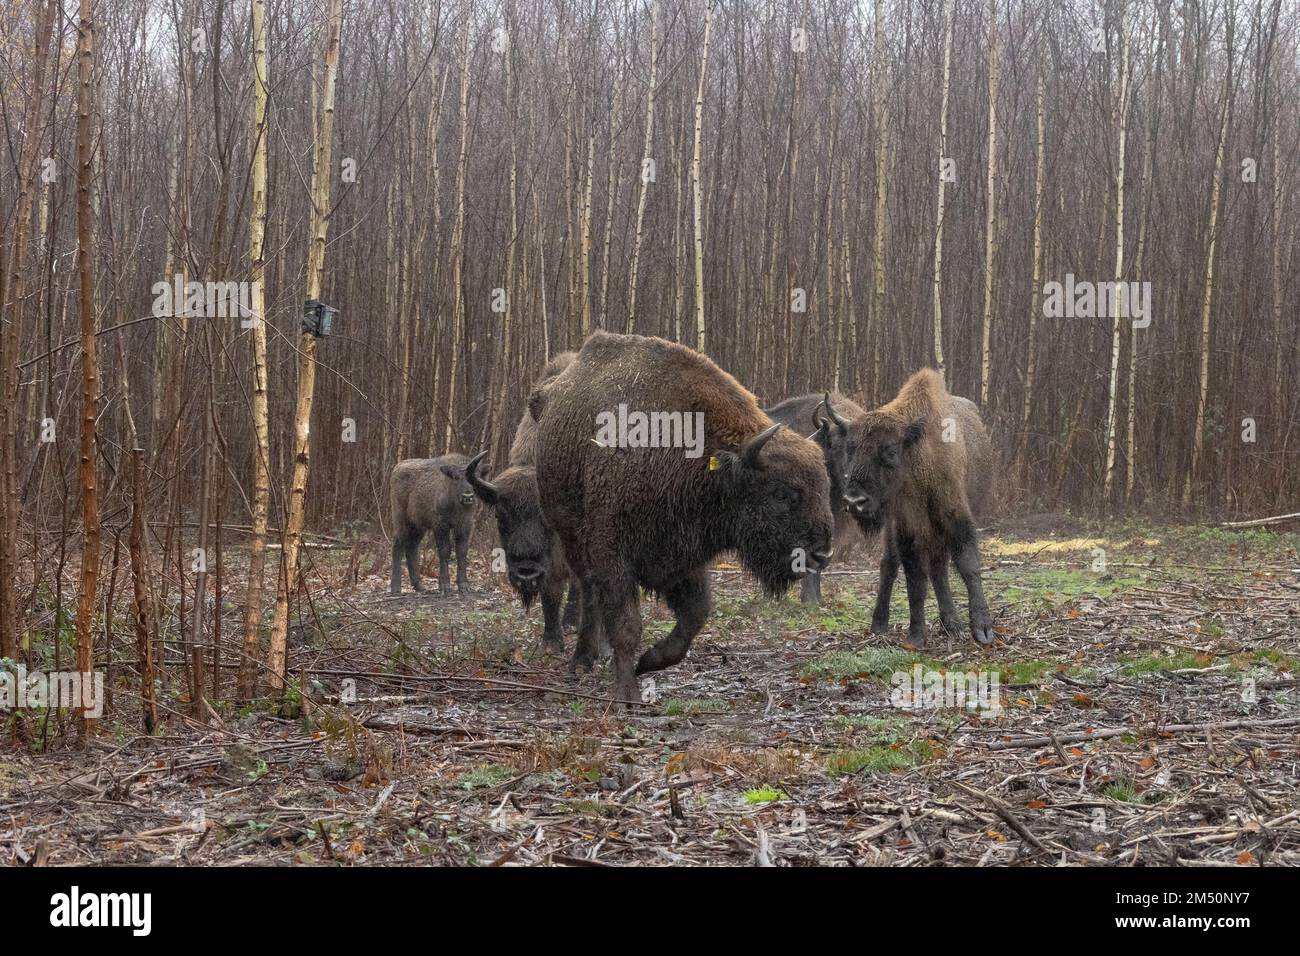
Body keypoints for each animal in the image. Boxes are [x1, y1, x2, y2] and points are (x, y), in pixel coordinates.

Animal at [389, 454, 476, 596]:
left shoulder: (465, 525)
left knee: (411, 547)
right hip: (401, 520)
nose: (468, 496)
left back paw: (420, 586)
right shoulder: (440, 526)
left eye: (475, 476)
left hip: (418, 526)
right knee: (398, 545)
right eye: (456, 477)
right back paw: (396, 588)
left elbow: (462, 551)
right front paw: (445, 587)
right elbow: (445, 551)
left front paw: (464, 586)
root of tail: (397, 467)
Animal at [533, 331, 835, 703]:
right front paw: (628, 693)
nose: (820, 554)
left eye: (824, 485)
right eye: (781, 493)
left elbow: (694, 616)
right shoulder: (614, 554)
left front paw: (648, 662)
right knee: (589, 592)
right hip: (571, 535)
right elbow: (626, 624)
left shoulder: (683, 559)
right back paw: (583, 661)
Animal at [834, 369, 995, 647]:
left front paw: (982, 629)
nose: (854, 501)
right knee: (891, 564)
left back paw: (952, 624)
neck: (921, 455)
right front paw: (916, 636)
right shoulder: (906, 525)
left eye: (890, 451)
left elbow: (968, 565)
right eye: (850, 449)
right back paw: (880, 624)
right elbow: (915, 579)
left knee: (938, 567)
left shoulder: (955, 515)